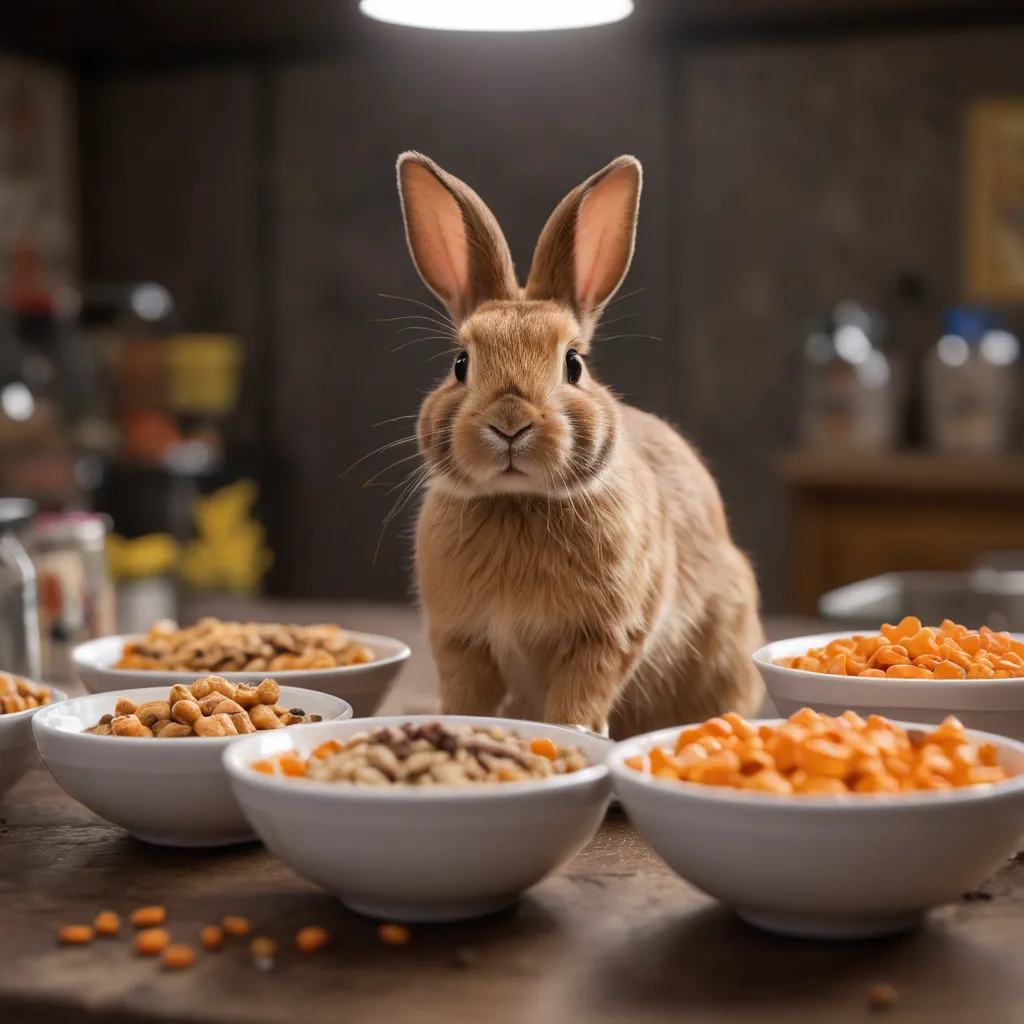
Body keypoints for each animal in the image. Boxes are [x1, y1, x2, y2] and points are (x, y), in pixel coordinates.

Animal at [396, 151, 764, 738]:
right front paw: (455, 723)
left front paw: (575, 733)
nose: (510, 422)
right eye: (460, 363)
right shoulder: (461, 639)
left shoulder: (607, 635)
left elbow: (582, 692)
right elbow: (466, 693)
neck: (518, 501)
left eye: (574, 364)